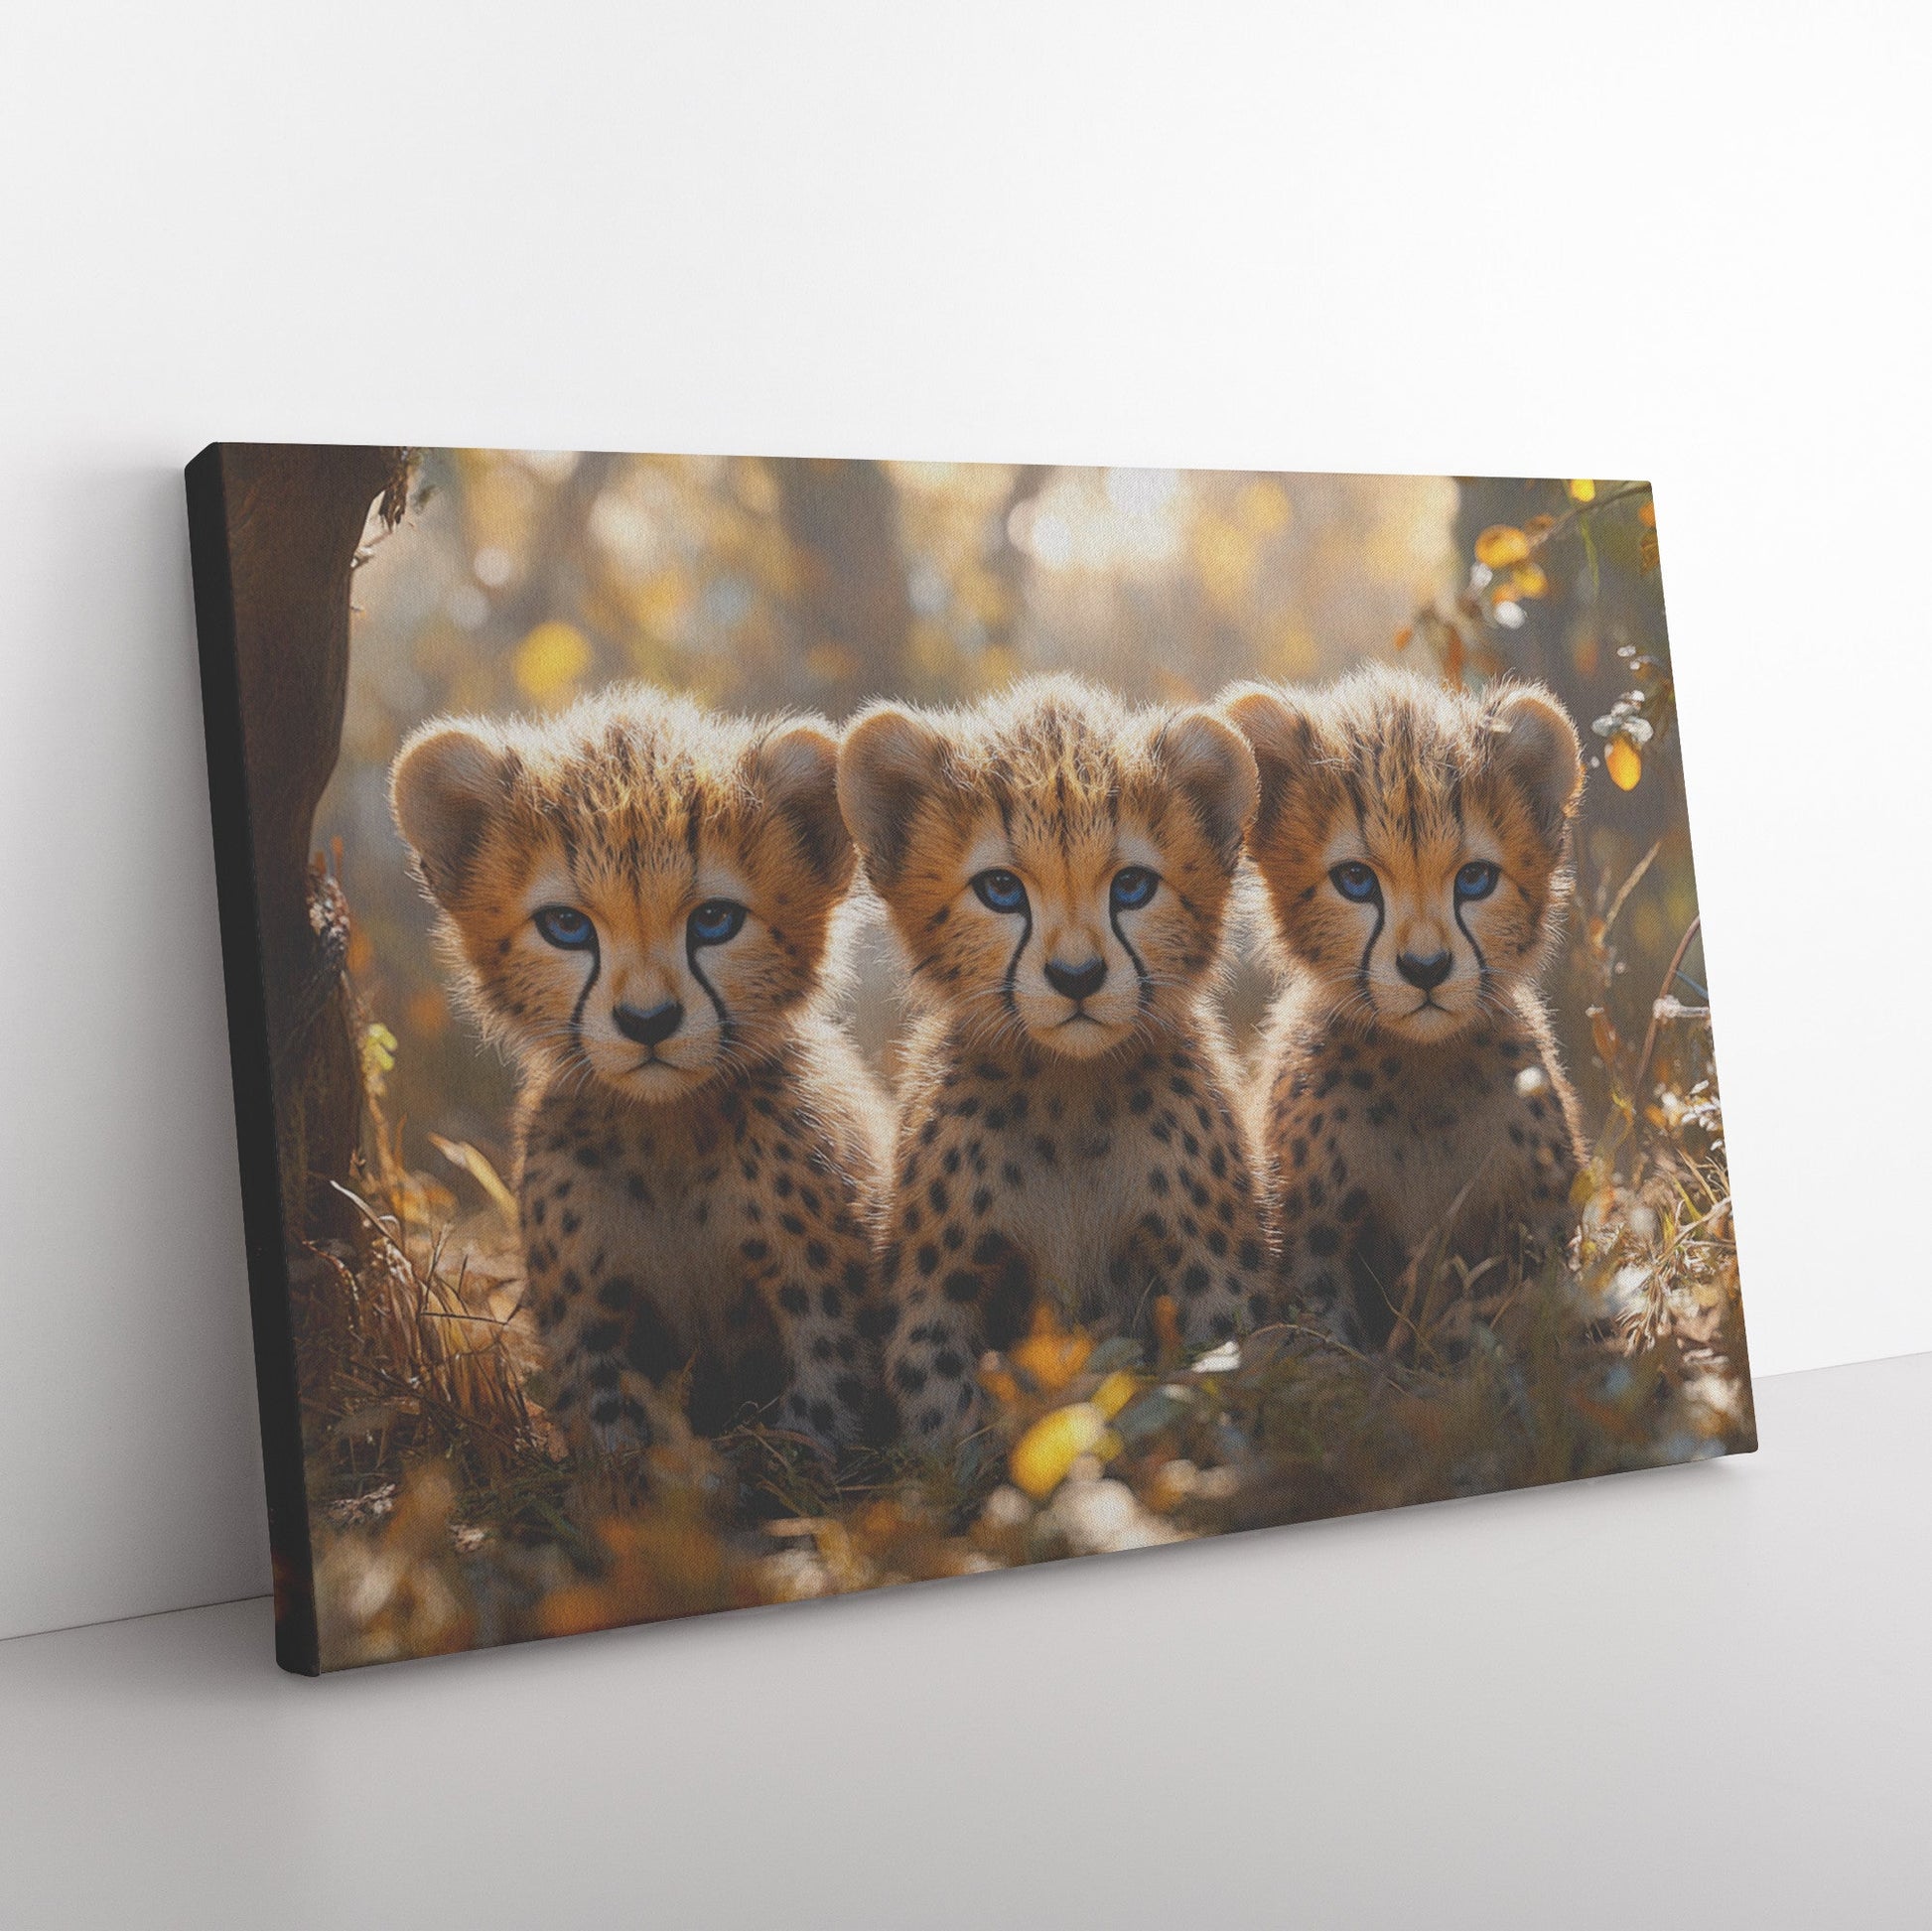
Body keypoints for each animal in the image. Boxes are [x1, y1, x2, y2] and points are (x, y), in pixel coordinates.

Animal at [390, 685, 889, 1457]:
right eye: (566, 925)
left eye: (714, 920)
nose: (648, 1021)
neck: (668, 1129)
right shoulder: (589, 1308)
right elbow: (610, 1426)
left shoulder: (823, 1285)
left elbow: (828, 1394)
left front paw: (794, 1460)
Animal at [836, 674, 1275, 1448]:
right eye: (1000, 889)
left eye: (1131, 886)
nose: (1077, 977)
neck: (1069, 1087)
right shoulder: (936, 1283)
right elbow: (942, 1411)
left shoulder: (1209, 1260)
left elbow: (1216, 1372)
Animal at [1222, 664, 1588, 1350]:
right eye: (1356, 880)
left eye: (1475, 879)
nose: (1425, 969)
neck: (1421, 1073)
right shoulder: (1312, 1241)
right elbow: (1326, 1341)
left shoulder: (1537, 1224)